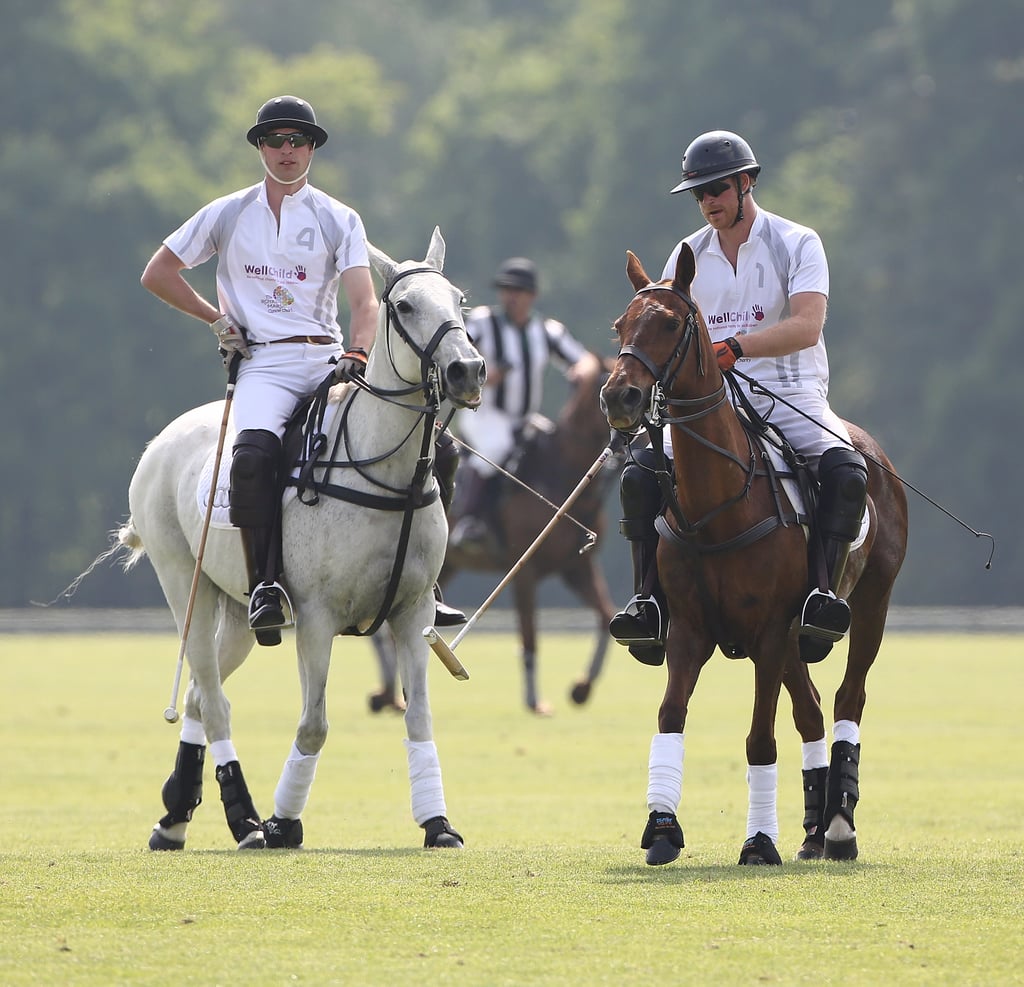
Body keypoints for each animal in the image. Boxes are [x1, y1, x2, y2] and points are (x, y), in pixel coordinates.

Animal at [117, 229, 485, 847]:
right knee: (213, 699)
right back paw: (244, 819)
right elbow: (313, 725)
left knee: (198, 695)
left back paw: (175, 817)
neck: (384, 472)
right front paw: (284, 822)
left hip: (238, 610)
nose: (468, 371)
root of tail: (162, 439)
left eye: (460, 299)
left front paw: (438, 825)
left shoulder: (412, 612)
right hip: (182, 582)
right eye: (404, 306)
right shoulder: (316, 616)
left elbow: (417, 717)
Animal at [436, 358, 618, 712]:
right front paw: (535, 702)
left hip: (447, 564)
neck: (558, 470)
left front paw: (581, 689)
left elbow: (606, 617)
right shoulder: (525, 571)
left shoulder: (576, 567)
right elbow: (530, 635)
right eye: (607, 378)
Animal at [598, 246, 909, 864]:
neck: (718, 506)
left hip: (869, 603)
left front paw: (760, 841)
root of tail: (876, 454)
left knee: (848, 697)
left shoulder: (768, 630)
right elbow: (671, 716)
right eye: (621, 325)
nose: (619, 396)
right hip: (796, 638)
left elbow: (760, 738)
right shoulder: (691, 630)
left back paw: (839, 827)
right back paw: (814, 830)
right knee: (810, 708)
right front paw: (662, 828)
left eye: (669, 324)